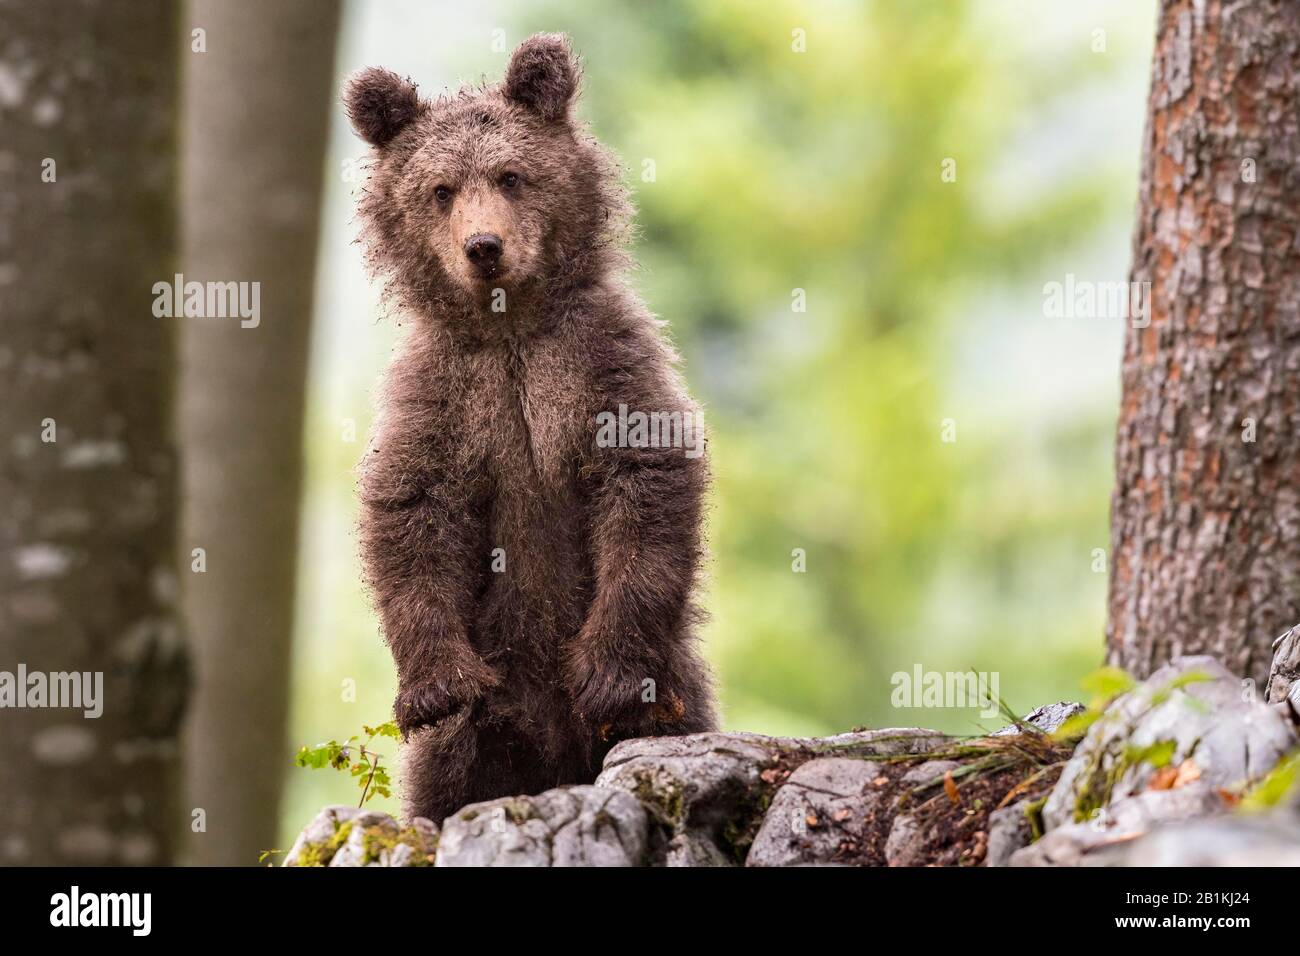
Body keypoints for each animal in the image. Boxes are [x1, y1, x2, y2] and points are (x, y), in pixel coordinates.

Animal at [343, 33, 719, 824]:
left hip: (676, 693)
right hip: (479, 729)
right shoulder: (446, 394)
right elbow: (411, 508)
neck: (509, 329)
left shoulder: (598, 361)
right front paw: (433, 685)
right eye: (440, 189)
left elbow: (644, 480)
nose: (483, 246)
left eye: (511, 175)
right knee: (444, 785)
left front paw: (607, 671)